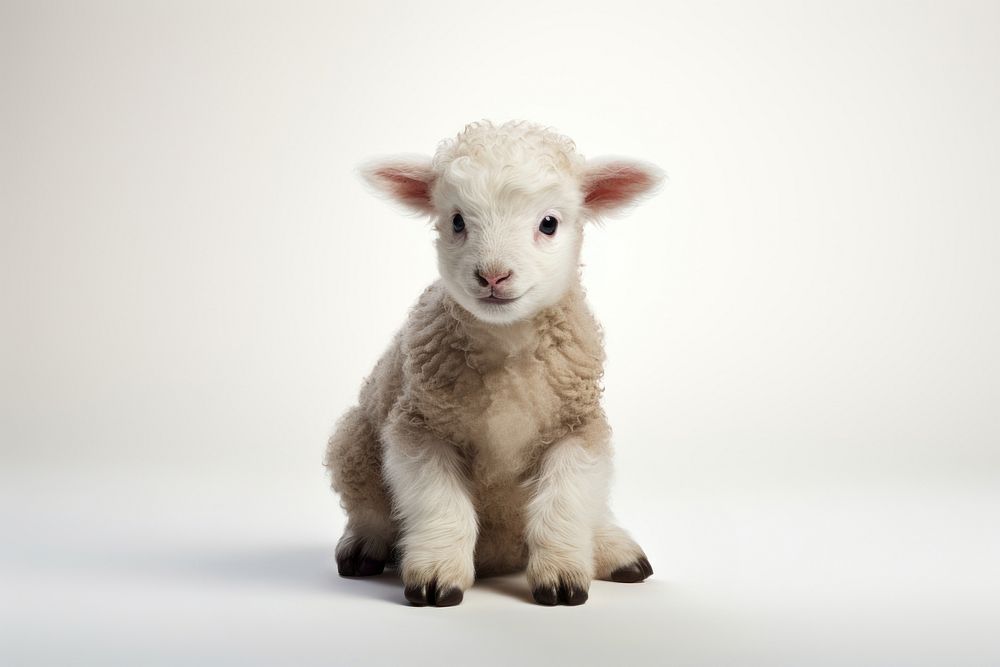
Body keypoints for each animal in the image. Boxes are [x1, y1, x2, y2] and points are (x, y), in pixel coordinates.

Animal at [325, 120, 663, 607]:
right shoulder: (419, 428)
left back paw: (613, 550)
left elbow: (565, 502)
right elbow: (441, 505)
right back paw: (362, 548)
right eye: (457, 221)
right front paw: (436, 578)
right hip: (353, 444)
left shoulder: (578, 429)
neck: (508, 346)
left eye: (548, 223)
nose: (492, 275)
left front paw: (562, 578)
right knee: (368, 511)